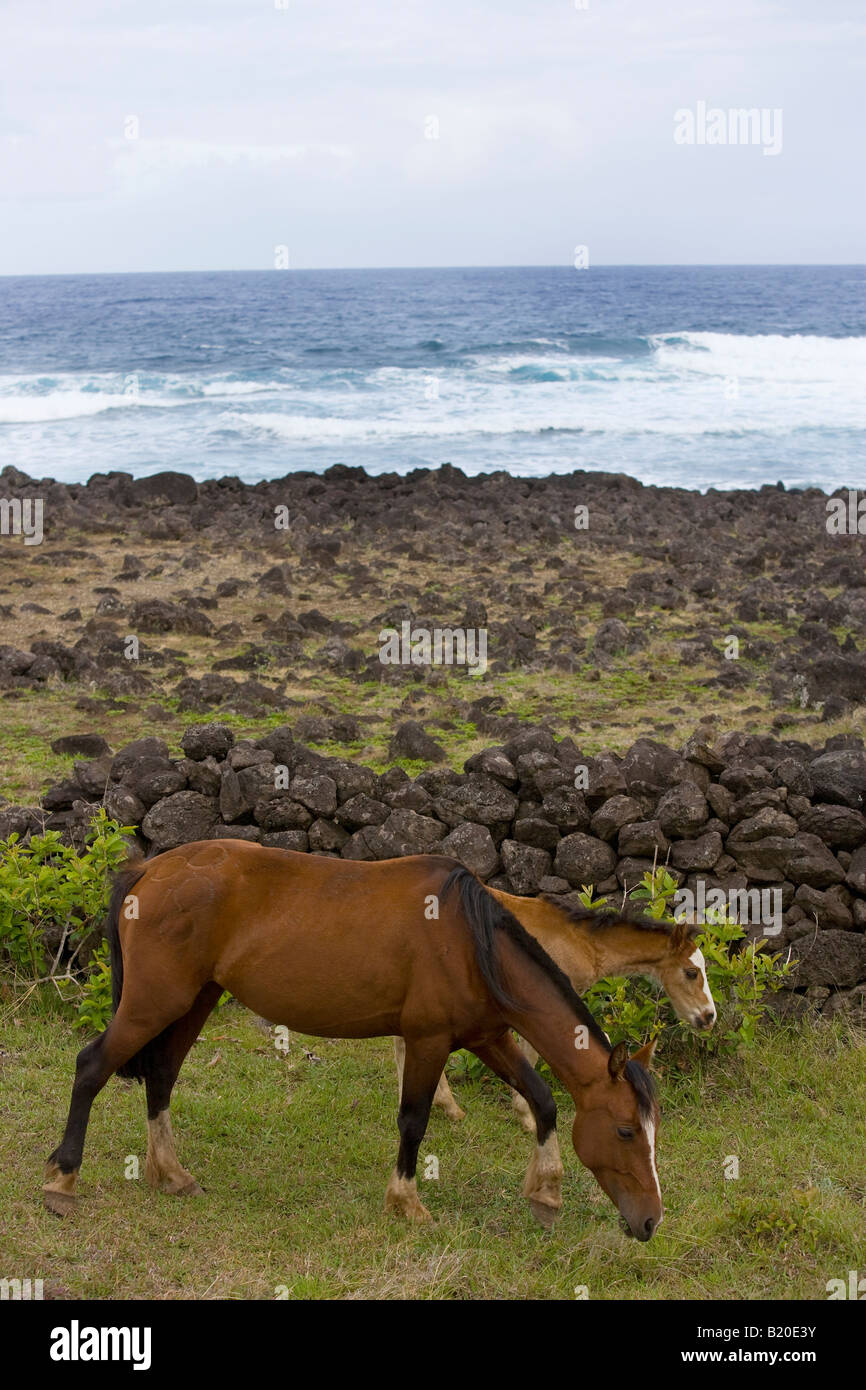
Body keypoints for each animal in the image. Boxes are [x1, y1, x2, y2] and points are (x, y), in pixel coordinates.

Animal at [44, 841, 663, 1238]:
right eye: (626, 1130)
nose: (651, 1221)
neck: (468, 939)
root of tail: (148, 869)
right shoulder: (429, 1040)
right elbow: (414, 1121)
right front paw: (406, 1203)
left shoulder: (488, 1036)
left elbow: (542, 1101)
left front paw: (546, 1193)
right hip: (154, 1003)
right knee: (92, 1065)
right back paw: (63, 1180)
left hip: (194, 1001)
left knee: (162, 1075)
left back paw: (171, 1174)